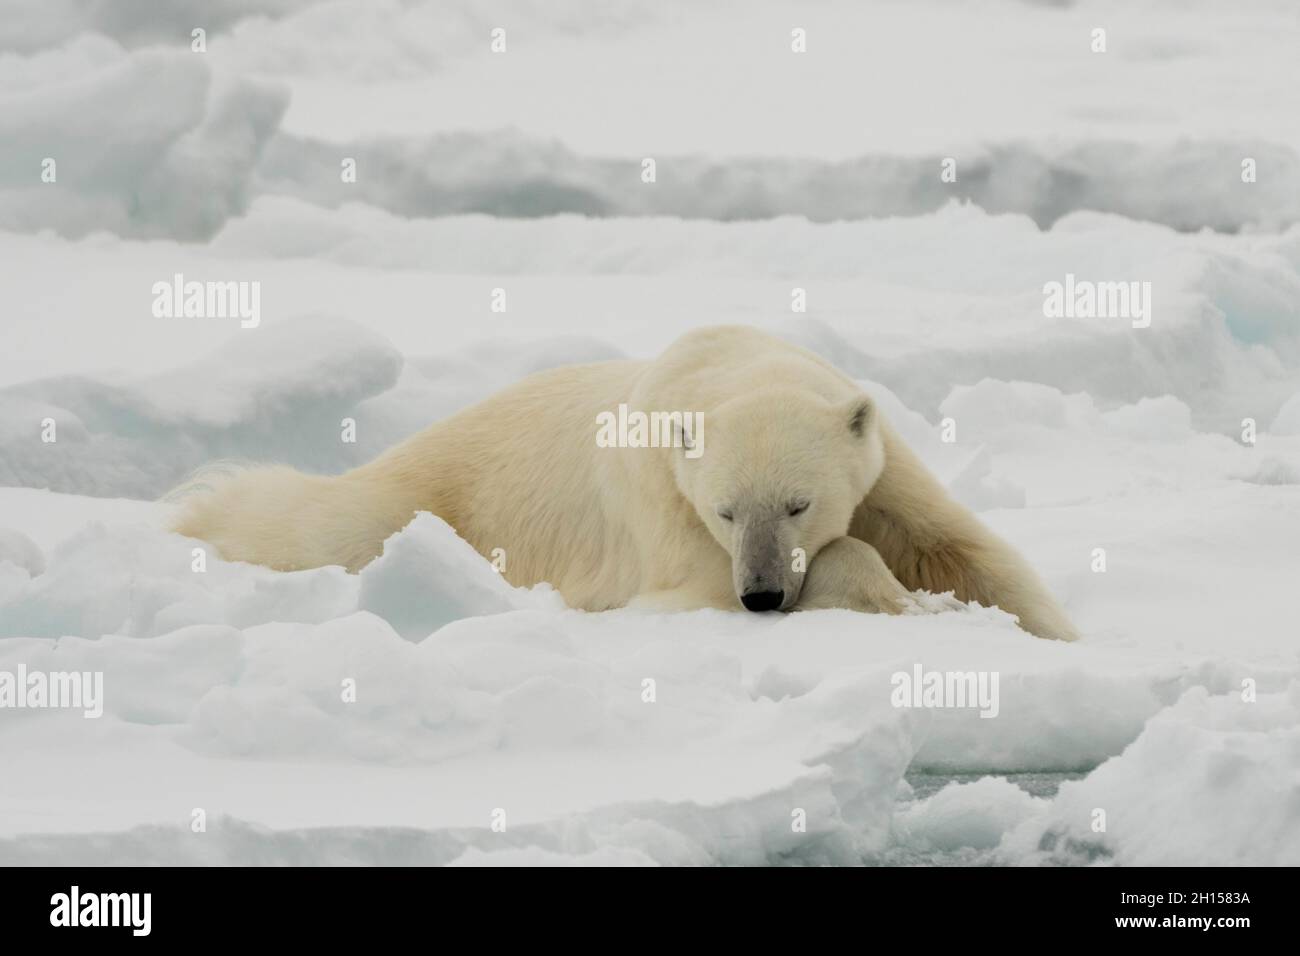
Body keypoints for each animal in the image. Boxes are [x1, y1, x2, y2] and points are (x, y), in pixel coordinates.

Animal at [171, 325, 1079, 641]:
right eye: (725, 511)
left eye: (799, 501)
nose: (761, 595)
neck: (728, 358)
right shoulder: (662, 503)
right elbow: (698, 586)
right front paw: (901, 601)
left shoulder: (884, 469)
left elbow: (958, 545)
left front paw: (1047, 631)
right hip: (429, 494)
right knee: (321, 523)